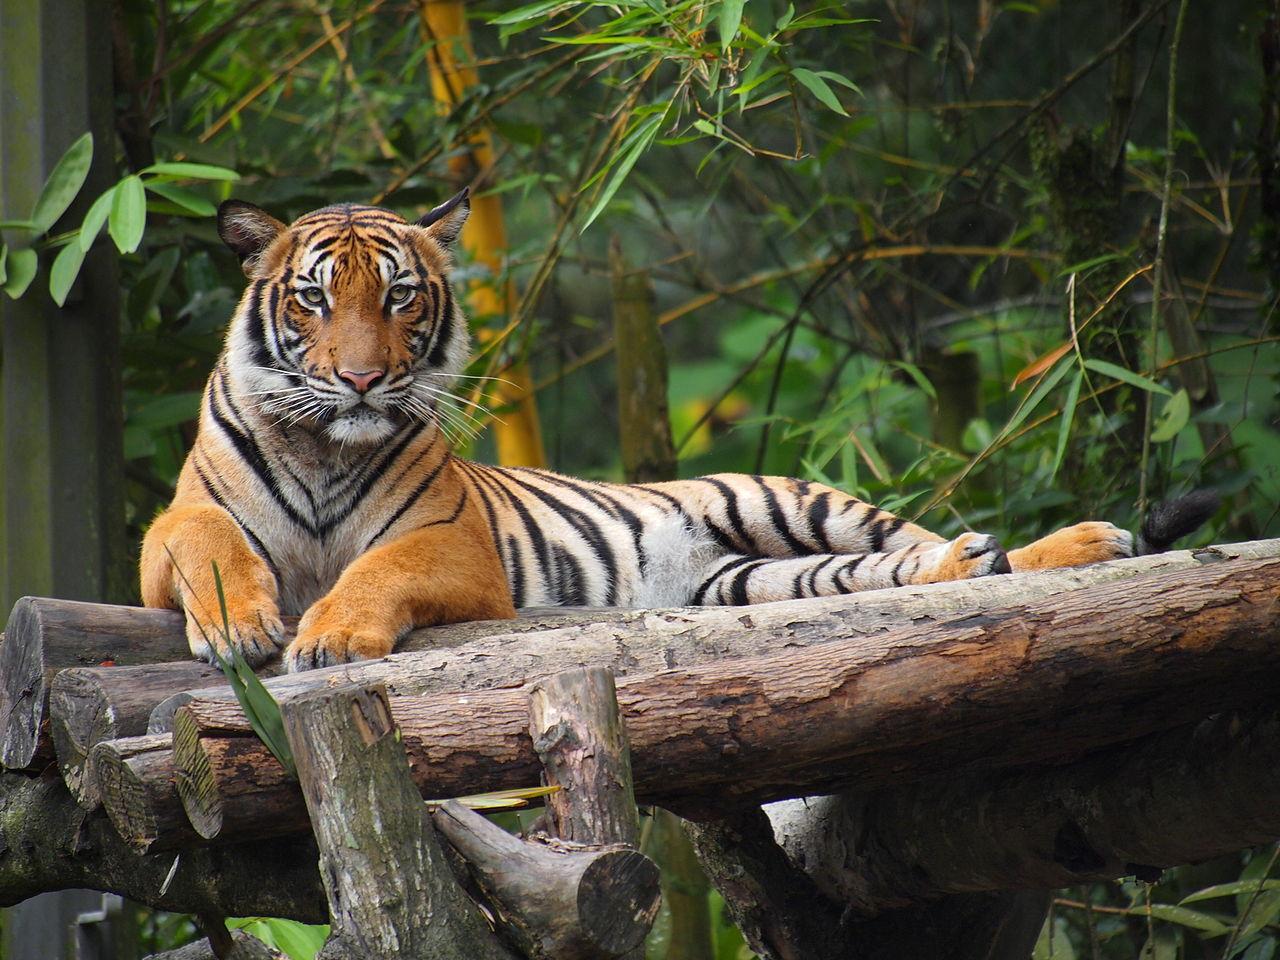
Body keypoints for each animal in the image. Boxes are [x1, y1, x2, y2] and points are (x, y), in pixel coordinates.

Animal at [140, 190, 1181, 673]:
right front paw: (238, 627)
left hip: (795, 501)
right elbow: (205, 540)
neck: (326, 445)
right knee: (908, 569)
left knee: (928, 542)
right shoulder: (164, 536)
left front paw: (328, 639)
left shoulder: (450, 543)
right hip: (757, 579)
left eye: (398, 296)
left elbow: (376, 570)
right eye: (313, 299)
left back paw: (1081, 543)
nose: (360, 377)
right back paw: (988, 556)